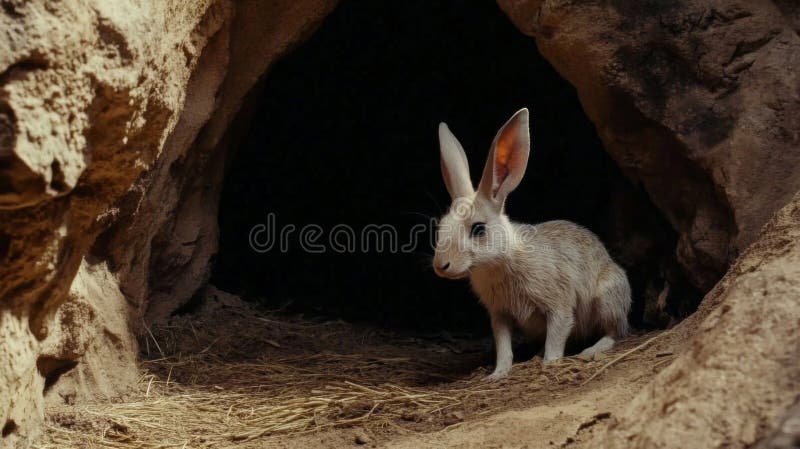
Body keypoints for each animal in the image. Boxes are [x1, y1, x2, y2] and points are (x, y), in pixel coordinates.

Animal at [432, 108, 631, 381]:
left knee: (615, 332)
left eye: (478, 229)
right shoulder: (500, 315)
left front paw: (549, 364)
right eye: (441, 226)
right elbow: (503, 346)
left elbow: (557, 336)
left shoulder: (558, 305)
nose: (441, 265)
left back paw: (589, 351)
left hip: (607, 297)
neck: (502, 260)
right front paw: (498, 374)